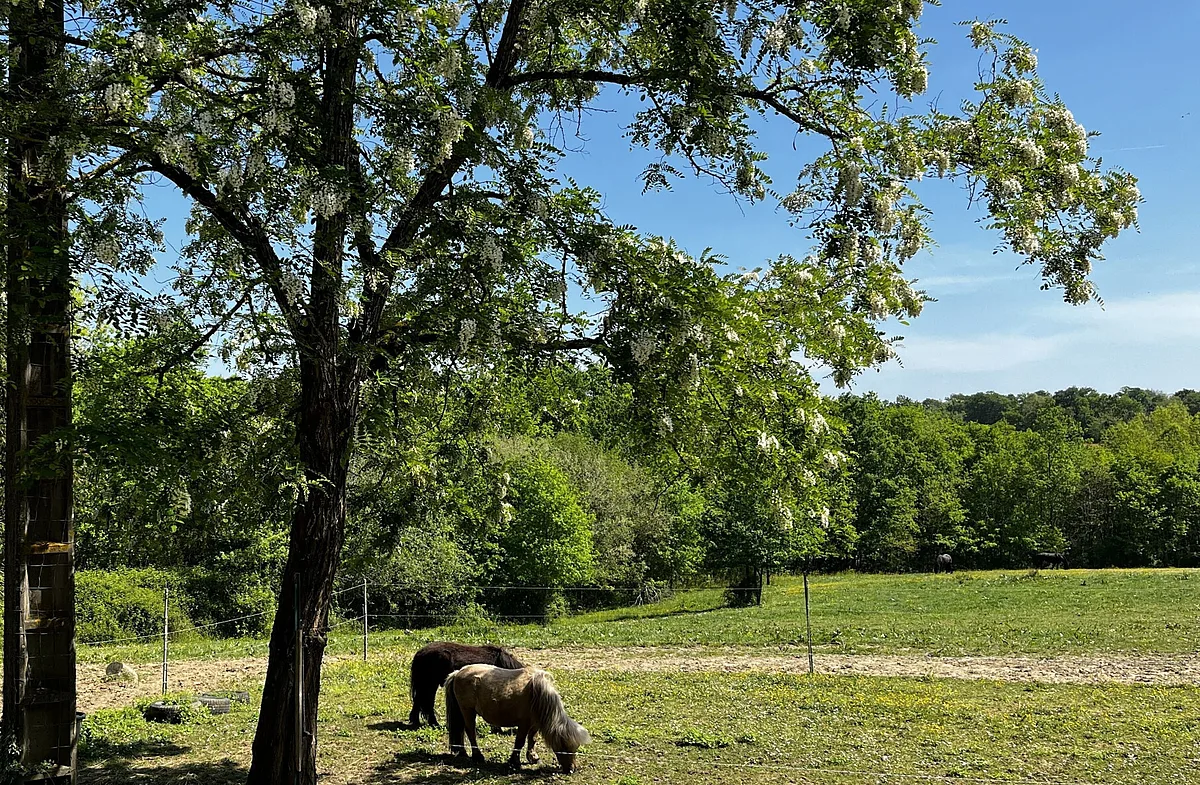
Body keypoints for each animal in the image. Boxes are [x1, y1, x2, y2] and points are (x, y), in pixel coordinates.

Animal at [444, 664, 590, 773]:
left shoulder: (534, 724)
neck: (537, 693)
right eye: (565, 747)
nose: (571, 769)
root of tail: (457, 673)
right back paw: (477, 756)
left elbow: (532, 739)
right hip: (468, 711)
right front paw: (515, 762)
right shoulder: (524, 724)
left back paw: (462, 752)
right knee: (470, 732)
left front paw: (533, 757)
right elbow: (519, 742)